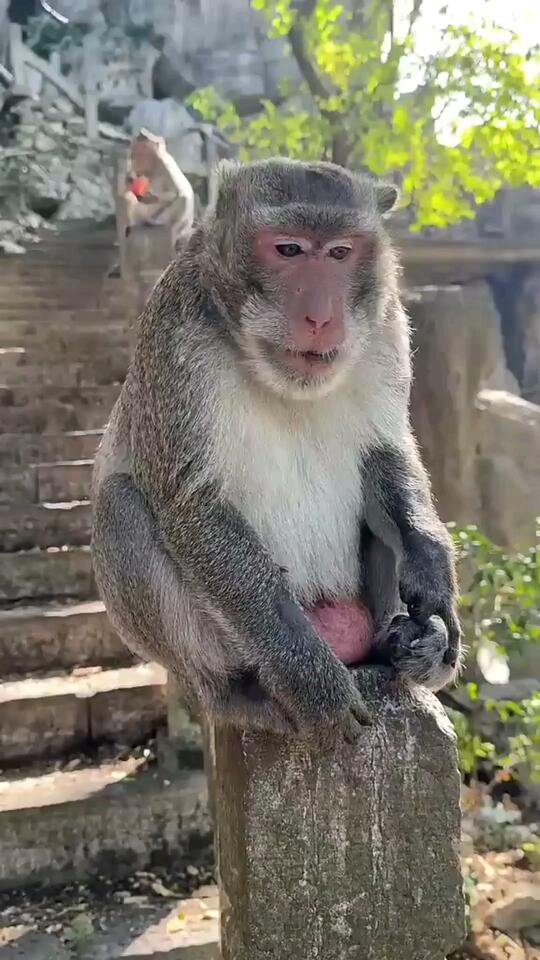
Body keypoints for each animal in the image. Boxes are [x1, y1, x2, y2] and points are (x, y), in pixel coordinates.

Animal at [92, 157, 462, 744]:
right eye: (288, 249)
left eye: (339, 252)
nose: (320, 316)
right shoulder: (176, 335)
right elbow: (192, 504)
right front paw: (314, 687)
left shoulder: (386, 325)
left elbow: (387, 453)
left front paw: (432, 573)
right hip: (221, 644)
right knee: (122, 505)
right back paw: (234, 693)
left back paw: (411, 649)